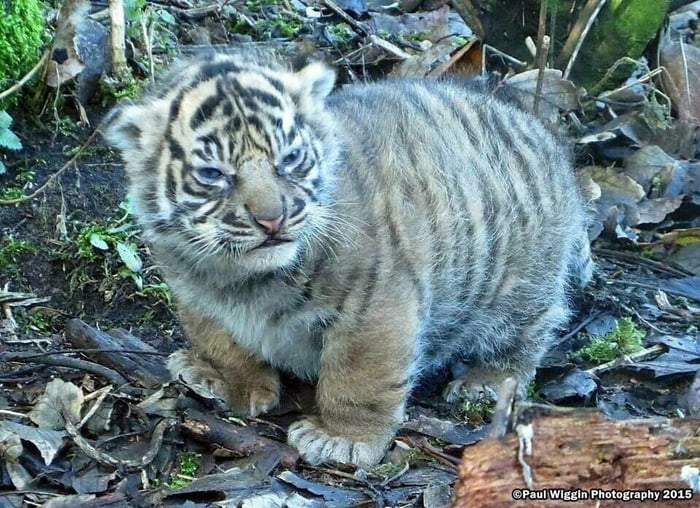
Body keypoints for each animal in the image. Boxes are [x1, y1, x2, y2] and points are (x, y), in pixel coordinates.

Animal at [104, 51, 593, 467]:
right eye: (213, 174)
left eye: (290, 159)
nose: (272, 219)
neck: (238, 278)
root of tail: (551, 145)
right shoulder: (197, 298)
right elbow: (223, 343)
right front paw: (226, 379)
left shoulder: (373, 308)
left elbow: (359, 376)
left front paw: (343, 440)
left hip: (520, 285)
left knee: (529, 332)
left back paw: (486, 382)